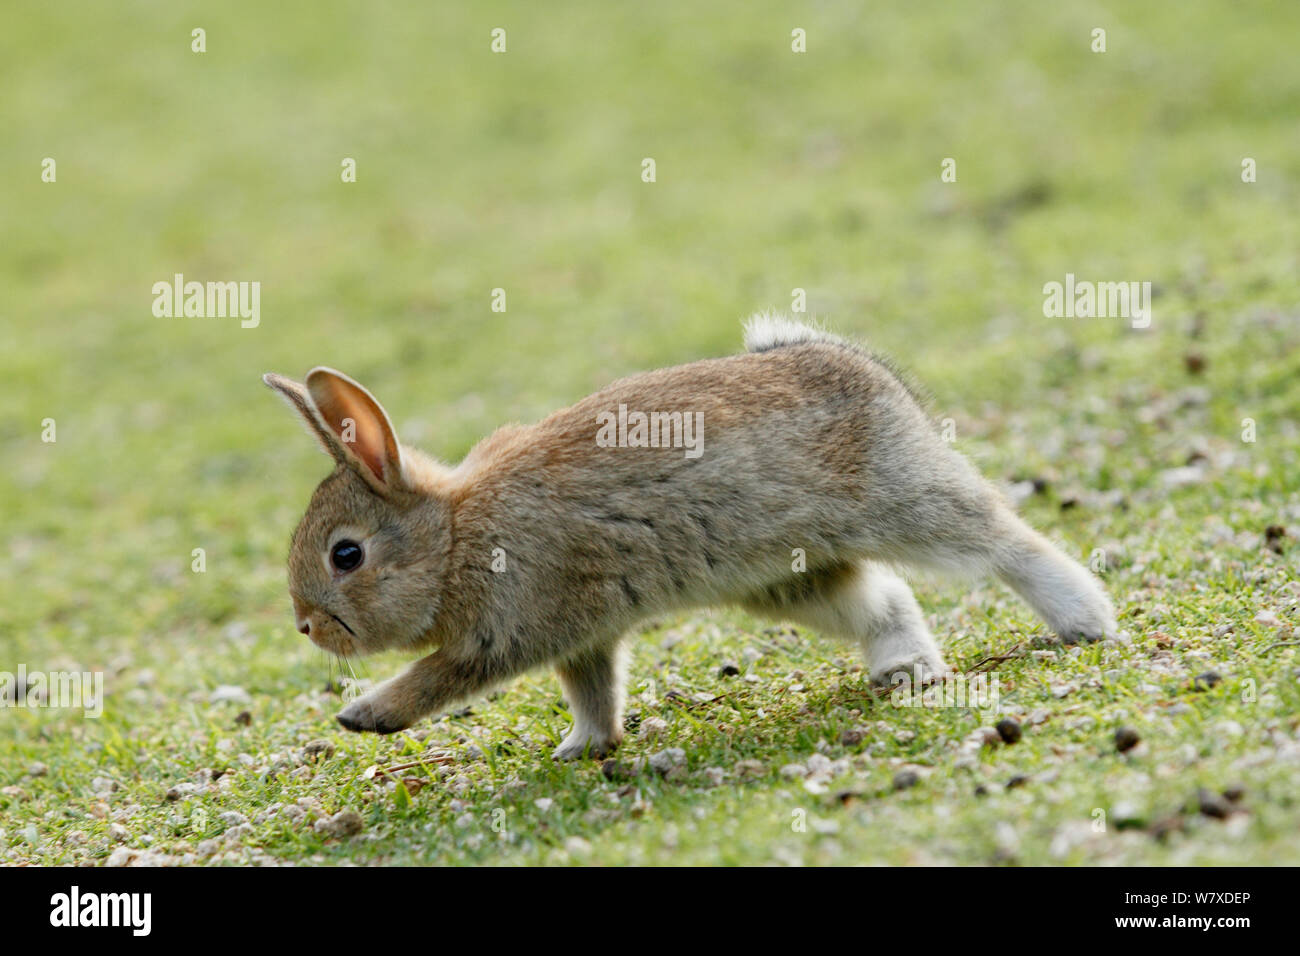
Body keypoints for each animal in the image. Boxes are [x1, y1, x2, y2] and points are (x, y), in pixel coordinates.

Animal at [263, 314, 1115, 759]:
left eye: (347, 555)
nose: (305, 626)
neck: (454, 536)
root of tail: (854, 364)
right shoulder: (583, 636)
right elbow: (594, 691)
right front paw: (585, 748)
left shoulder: (509, 630)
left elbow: (439, 678)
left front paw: (365, 715)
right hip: (788, 578)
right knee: (882, 599)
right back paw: (906, 672)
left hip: (904, 501)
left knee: (1002, 540)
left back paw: (1085, 619)